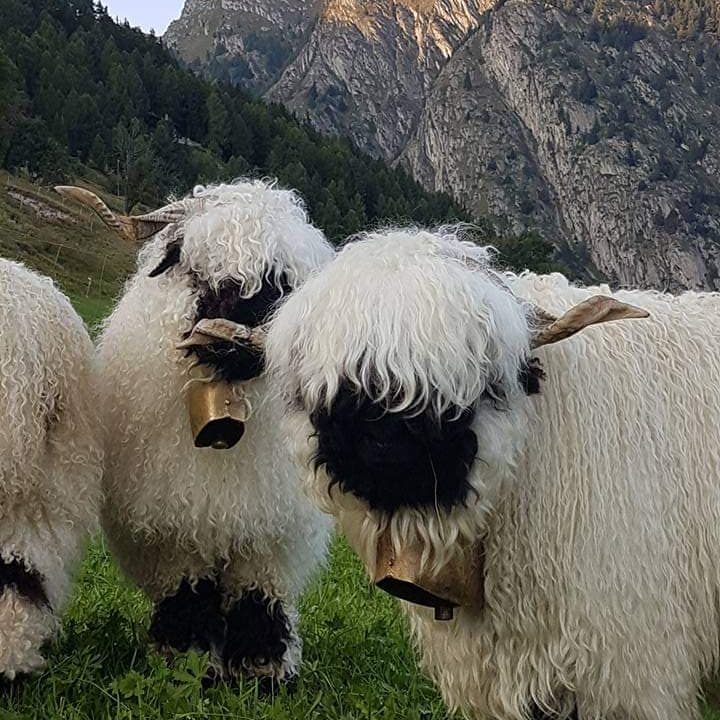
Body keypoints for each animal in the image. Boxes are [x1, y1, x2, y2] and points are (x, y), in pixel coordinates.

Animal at [56, 180, 334, 687]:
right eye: (193, 264)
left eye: (282, 282)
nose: (232, 337)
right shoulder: (175, 532)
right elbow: (188, 598)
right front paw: (185, 666)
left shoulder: (267, 538)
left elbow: (257, 603)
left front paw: (262, 674)